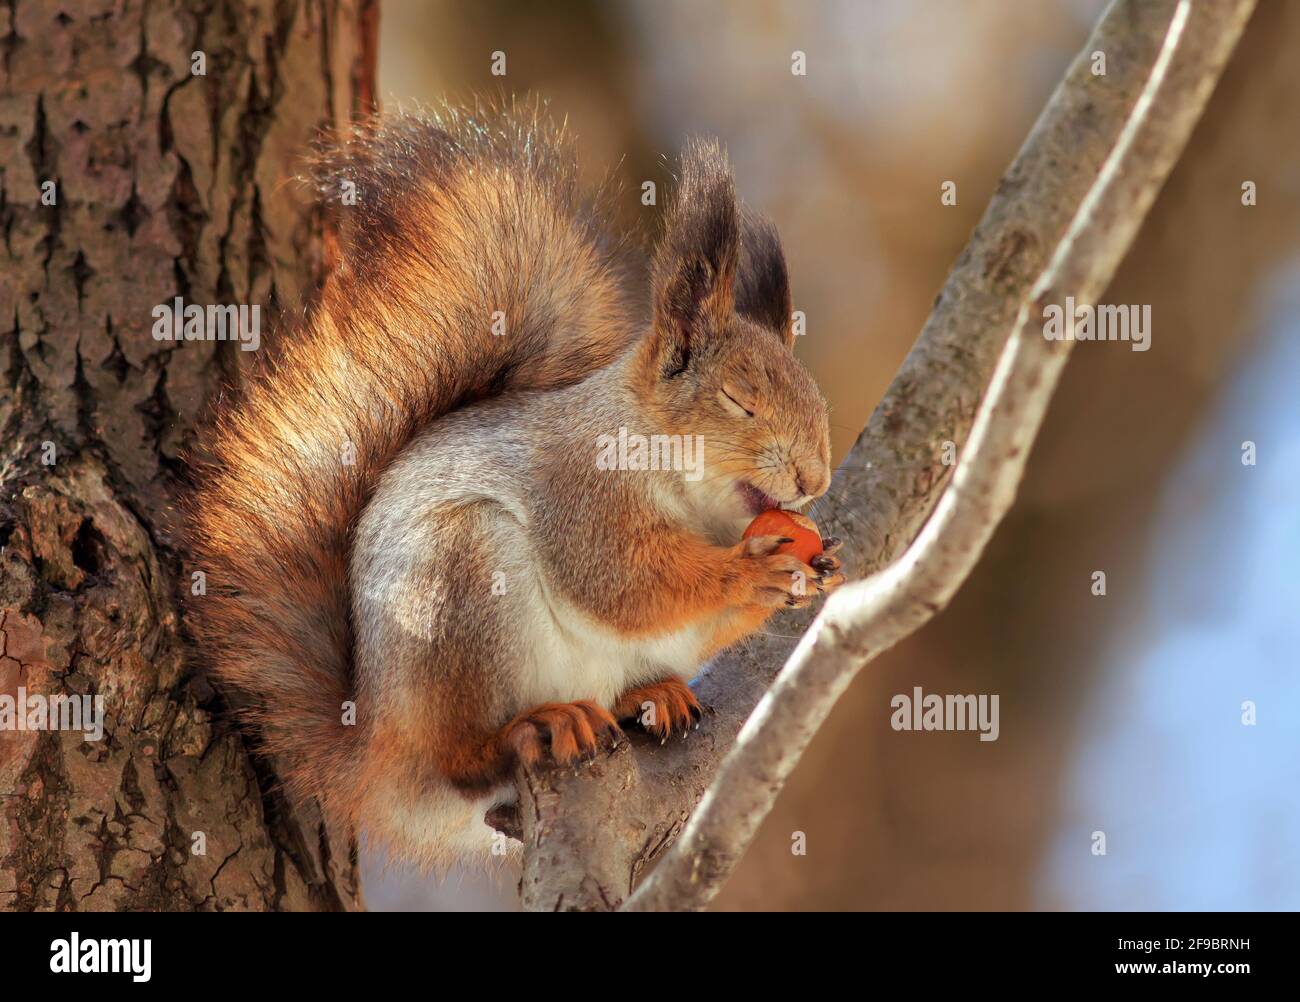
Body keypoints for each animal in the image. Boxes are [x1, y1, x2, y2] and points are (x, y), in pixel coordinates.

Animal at [187, 105, 844, 868]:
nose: (815, 477)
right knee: (462, 761)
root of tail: (375, 761)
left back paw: (648, 696)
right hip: (460, 582)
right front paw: (751, 568)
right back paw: (533, 728)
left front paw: (816, 571)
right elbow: (623, 583)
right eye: (739, 401)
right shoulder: (578, 494)